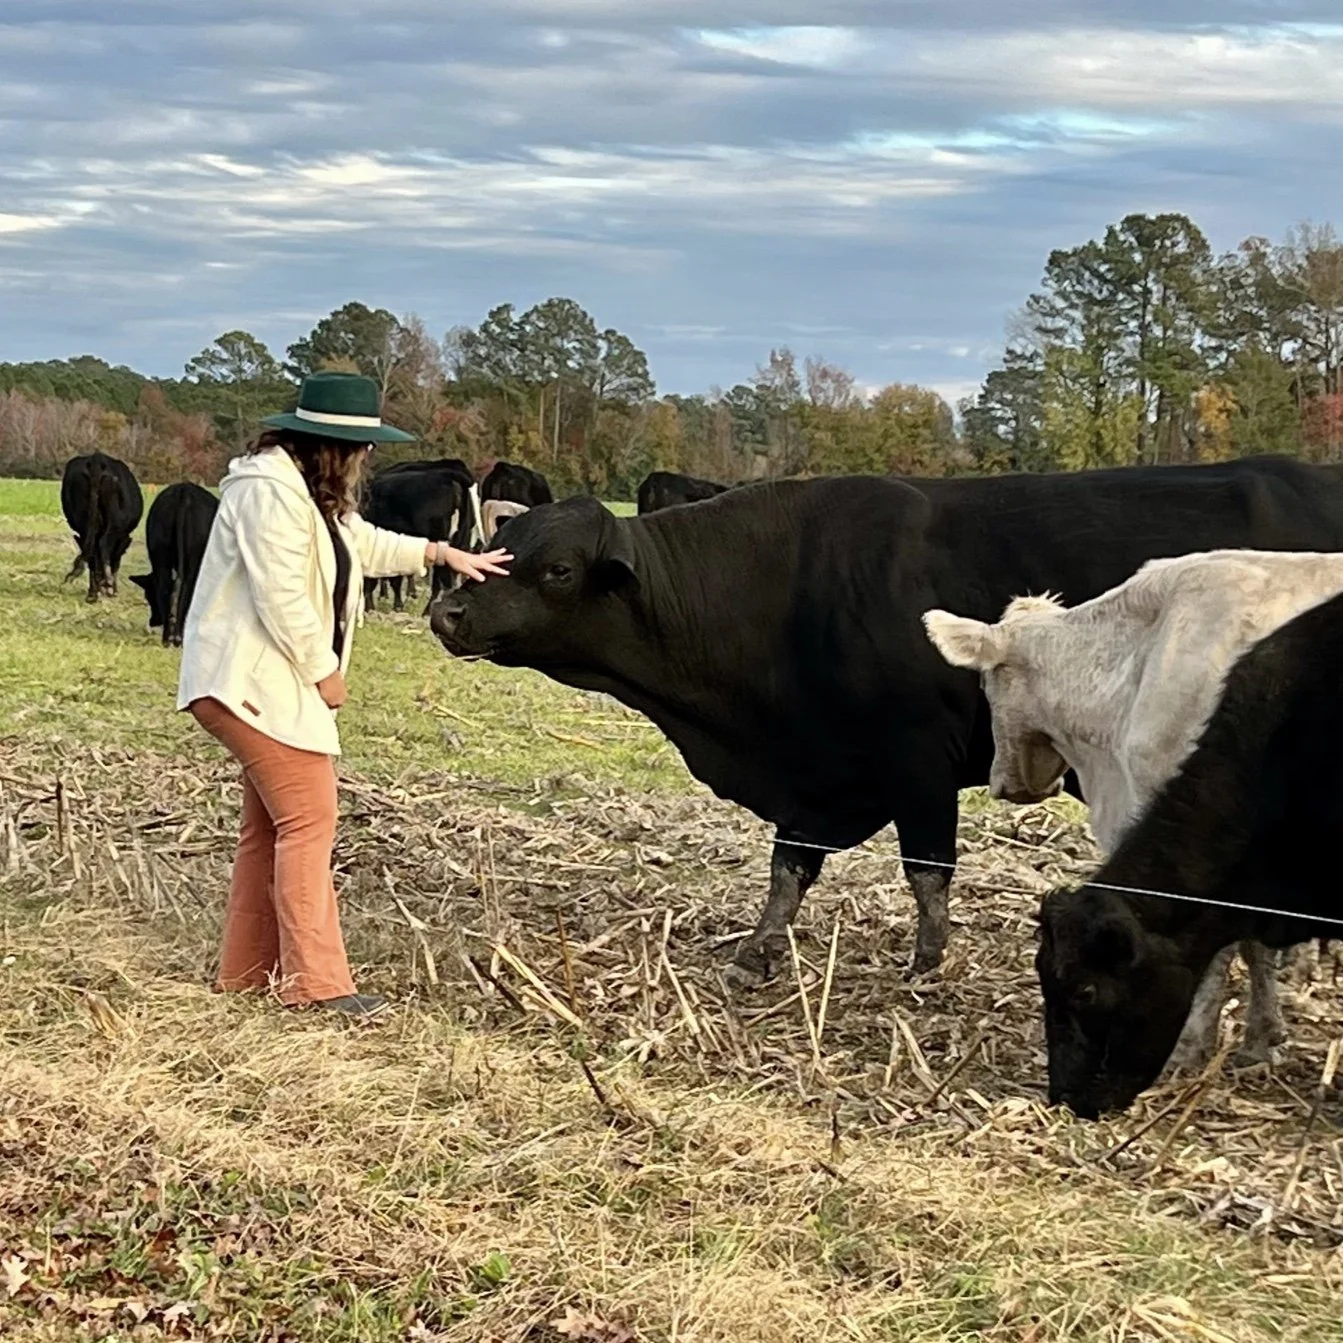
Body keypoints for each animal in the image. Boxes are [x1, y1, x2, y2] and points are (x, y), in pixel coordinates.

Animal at [60, 452, 144, 603]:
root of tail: (96, 458)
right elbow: (115, 561)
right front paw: (111, 588)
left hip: (83, 523)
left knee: (91, 551)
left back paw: (93, 592)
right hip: (116, 521)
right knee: (103, 543)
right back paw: (108, 584)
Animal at [128, 481, 219, 645]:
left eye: (148, 596)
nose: (153, 621)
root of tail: (183, 491)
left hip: (159, 552)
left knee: (164, 588)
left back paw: (167, 638)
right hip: (193, 561)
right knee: (186, 594)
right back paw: (179, 638)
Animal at [428, 458, 1343, 983]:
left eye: (555, 568)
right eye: (498, 546)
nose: (446, 612)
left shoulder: (917, 761)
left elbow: (926, 871)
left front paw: (926, 963)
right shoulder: (820, 775)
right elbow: (787, 870)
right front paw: (756, 953)